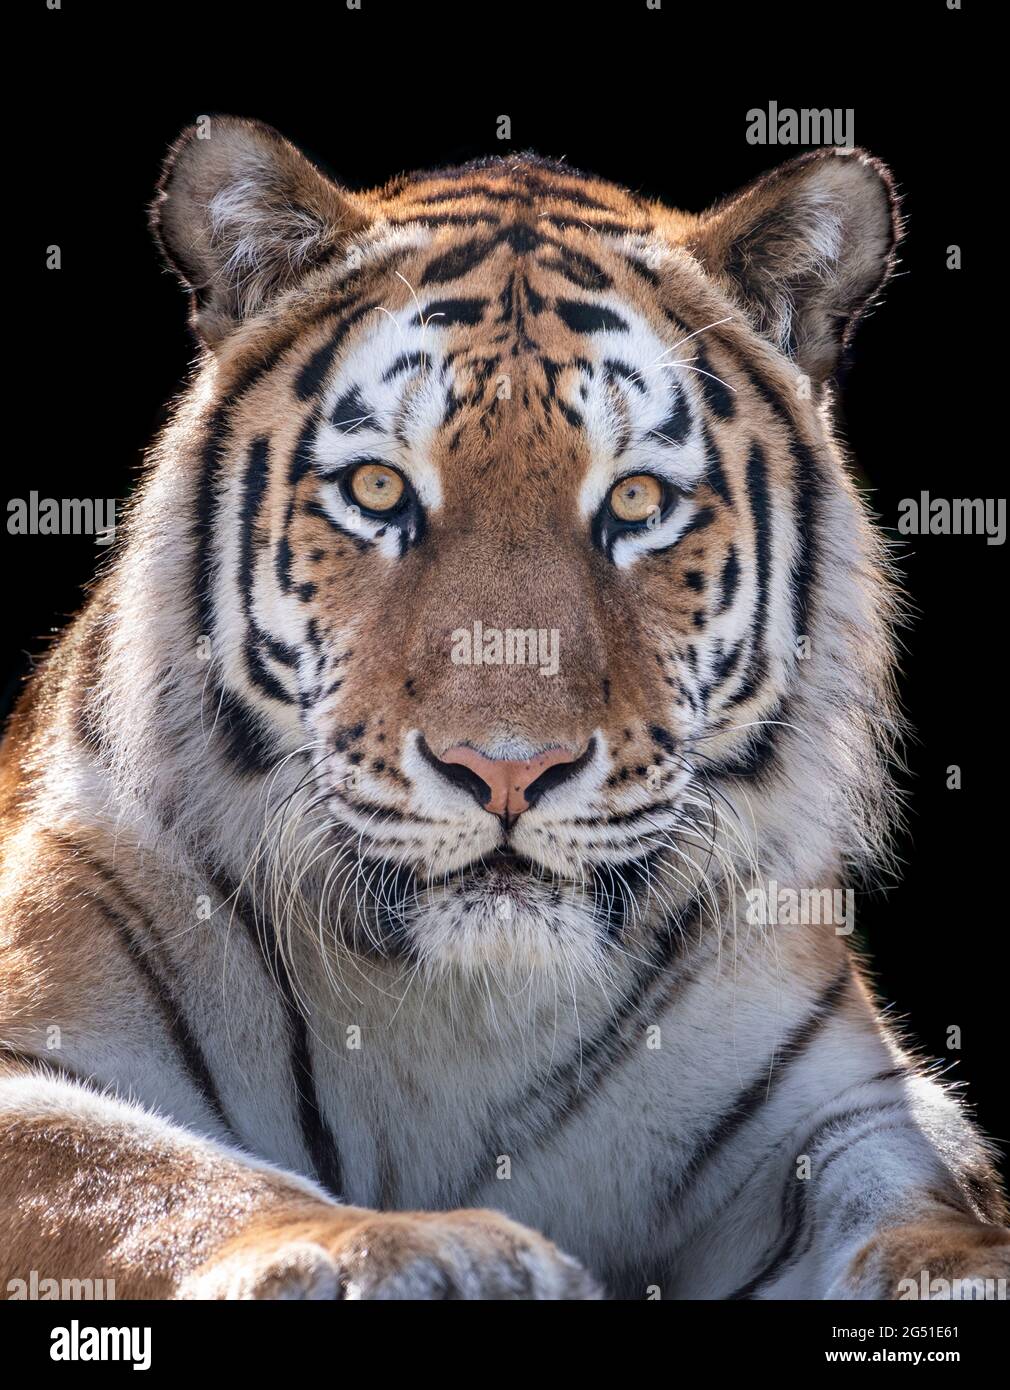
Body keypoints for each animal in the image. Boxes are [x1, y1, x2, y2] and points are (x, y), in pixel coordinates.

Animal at [2, 116, 1008, 1302]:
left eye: (636, 501)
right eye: (379, 491)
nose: (508, 770)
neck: (455, 1007)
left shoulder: (832, 1110)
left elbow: (908, 1211)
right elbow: (154, 1178)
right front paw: (417, 1248)